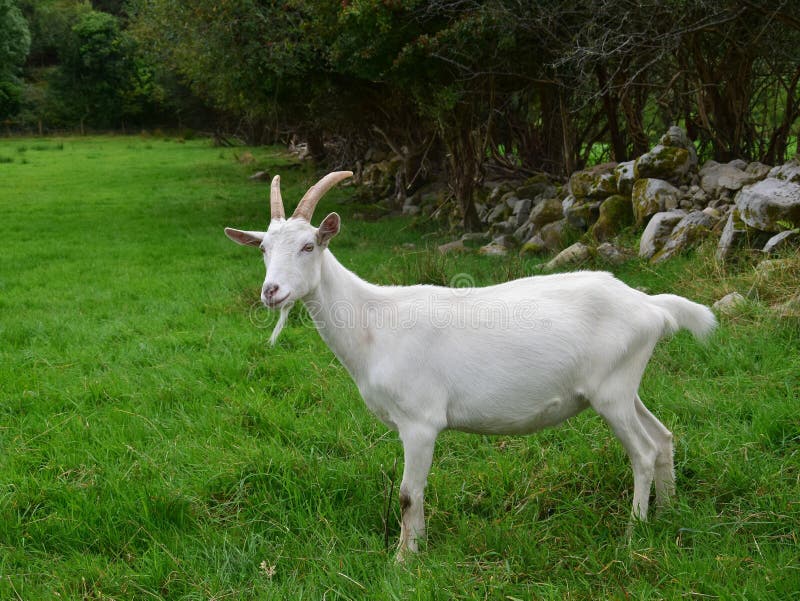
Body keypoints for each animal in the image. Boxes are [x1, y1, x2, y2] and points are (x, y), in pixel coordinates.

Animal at [224, 171, 717, 558]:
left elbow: (407, 494)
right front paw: (418, 547)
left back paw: (634, 532)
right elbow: (415, 496)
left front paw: (403, 561)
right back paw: (669, 511)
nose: (271, 292)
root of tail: (650, 306)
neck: (373, 322)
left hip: (611, 392)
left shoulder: (420, 421)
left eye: (309, 245)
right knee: (663, 438)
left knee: (643, 451)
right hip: (624, 386)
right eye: (263, 249)